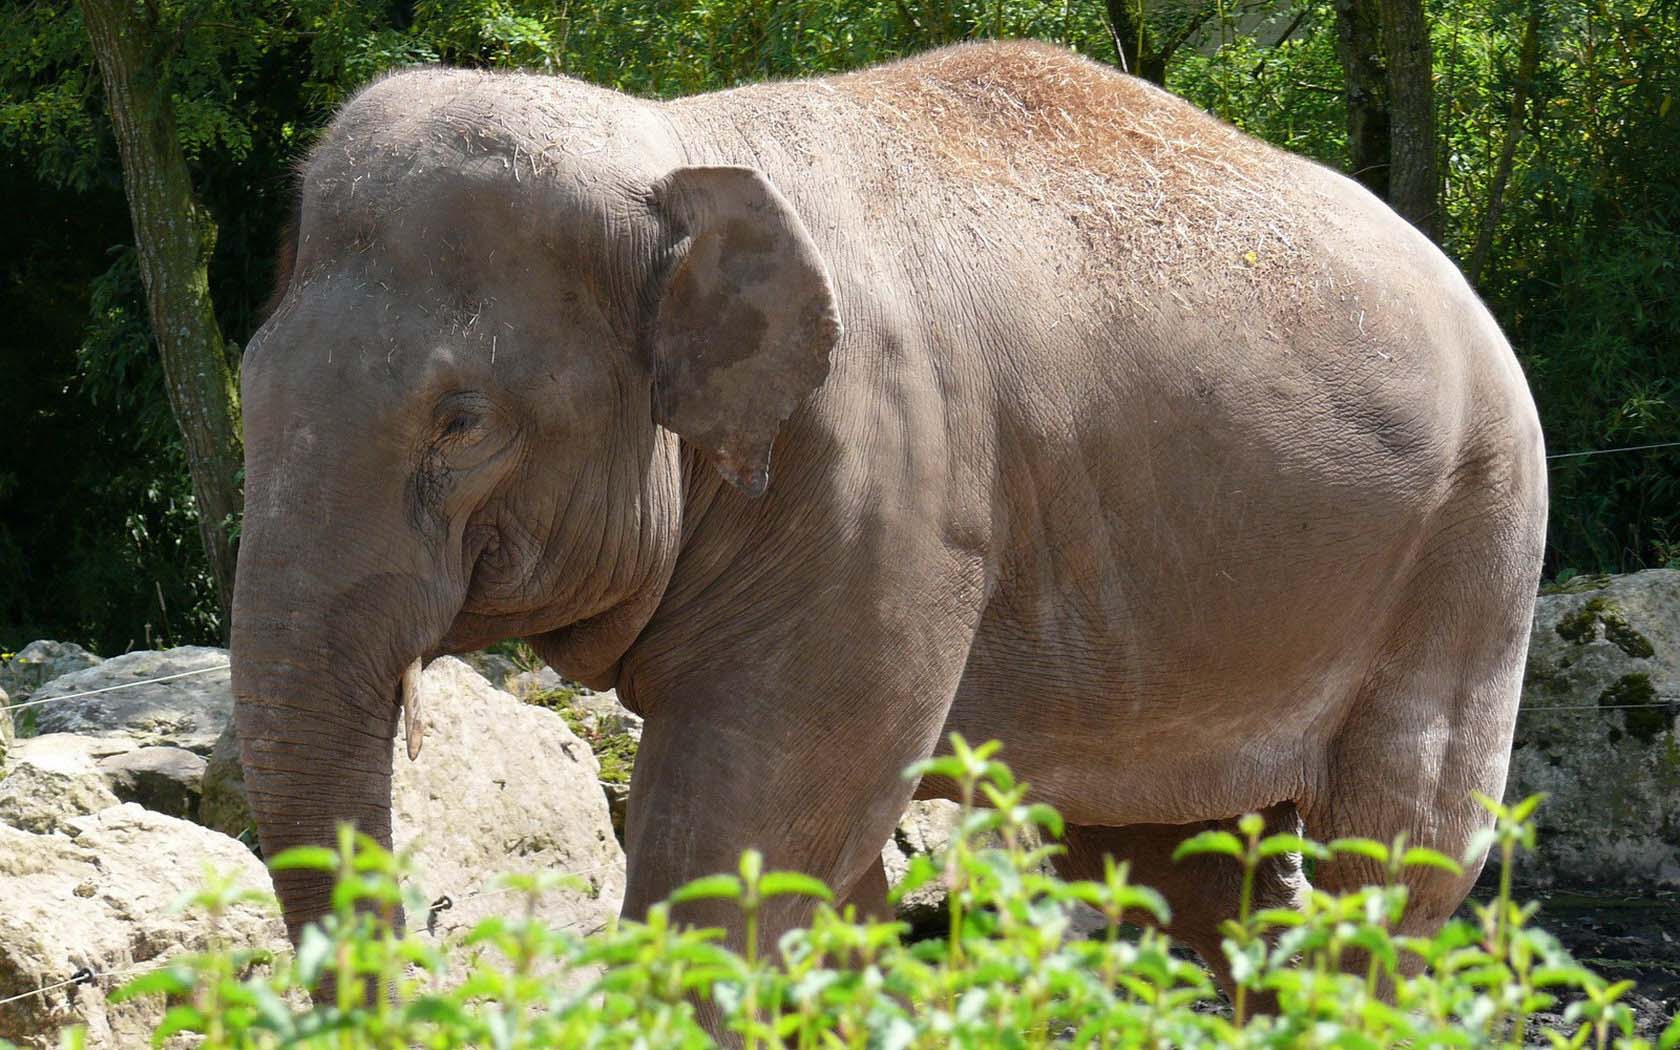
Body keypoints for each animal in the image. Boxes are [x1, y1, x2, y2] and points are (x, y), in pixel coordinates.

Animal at [233, 39, 1547, 1002]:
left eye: (461, 423)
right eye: (246, 387)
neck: (680, 144)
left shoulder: (889, 493)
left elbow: (741, 838)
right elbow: (824, 862)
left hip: (1475, 546)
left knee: (1391, 860)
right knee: (1174, 864)